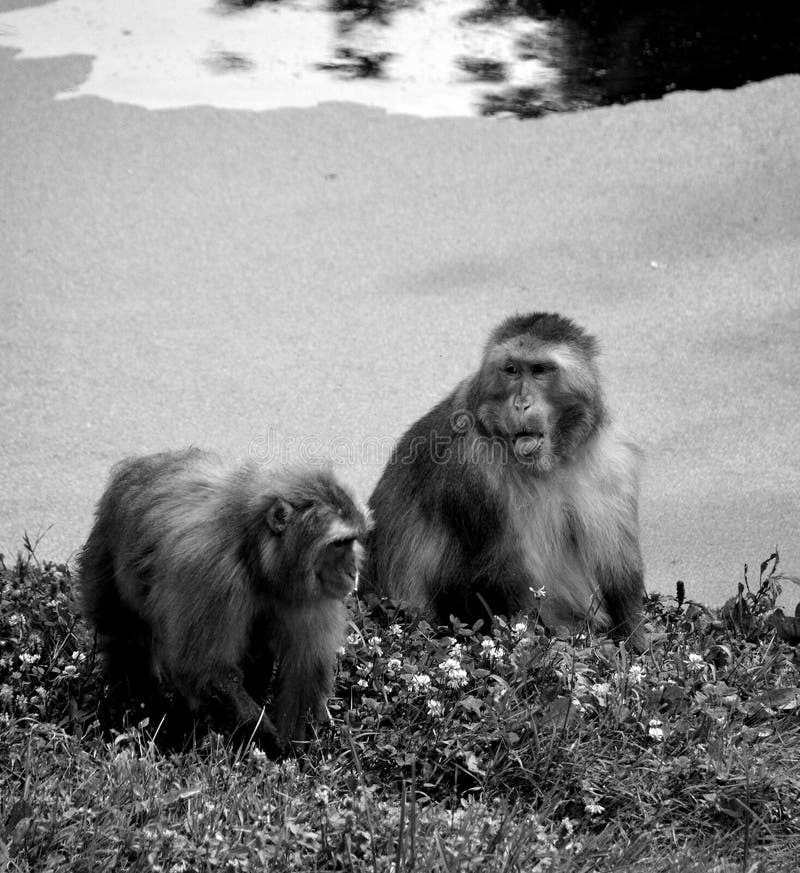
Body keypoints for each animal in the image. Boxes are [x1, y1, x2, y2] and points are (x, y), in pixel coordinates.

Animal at [79, 448, 369, 752]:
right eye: (338, 543)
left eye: (352, 541)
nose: (353, 570)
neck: (256, 555)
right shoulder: (212, 573)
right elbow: (206, 672)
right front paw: (274, 746)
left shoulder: (308, 590)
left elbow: (304, 670)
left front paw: (293, 748)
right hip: (104, 557)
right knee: (128, 639)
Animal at [365, 312, 646, 650]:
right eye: (512, 370)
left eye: (539, 370)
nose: (521, 403)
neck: (553, 461)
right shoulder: (472, 469)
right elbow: (500, 570)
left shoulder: (612, 461)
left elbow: (617, 565)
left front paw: (636, 642)